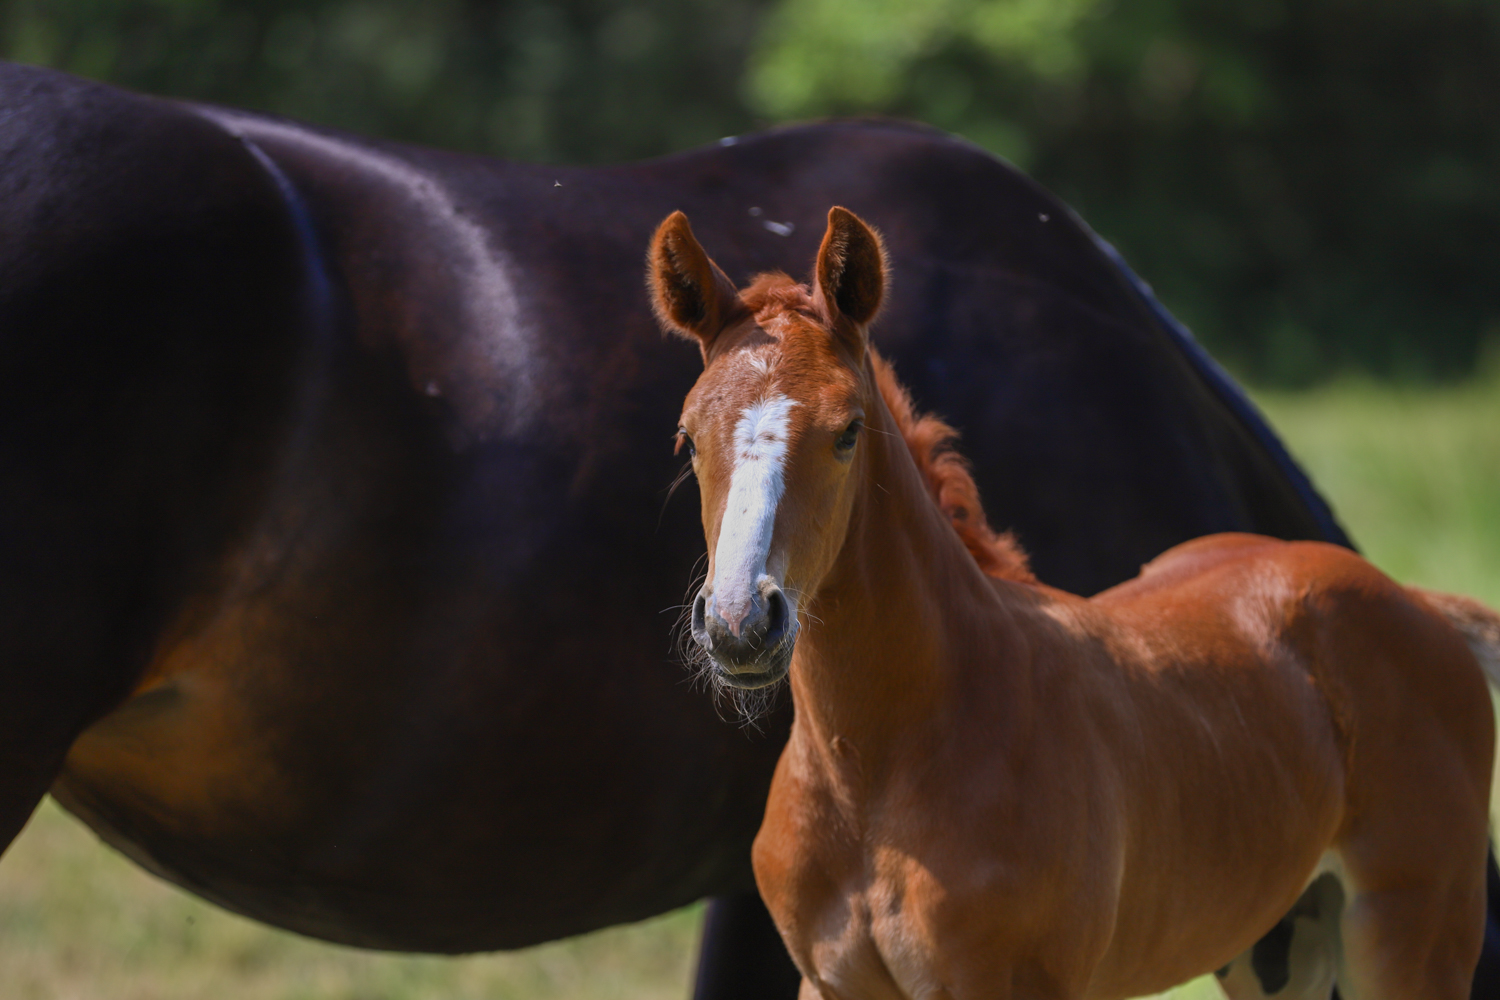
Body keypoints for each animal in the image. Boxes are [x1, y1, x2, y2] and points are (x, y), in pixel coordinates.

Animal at [652, 204, 1500, 999]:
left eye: (848, 430)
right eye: (688, 437)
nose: (740, 624)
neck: (879, 770)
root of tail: (1416, 603)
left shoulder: (1019, 981)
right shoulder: (828, 983)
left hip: (1410, 940)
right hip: (1282, 945)